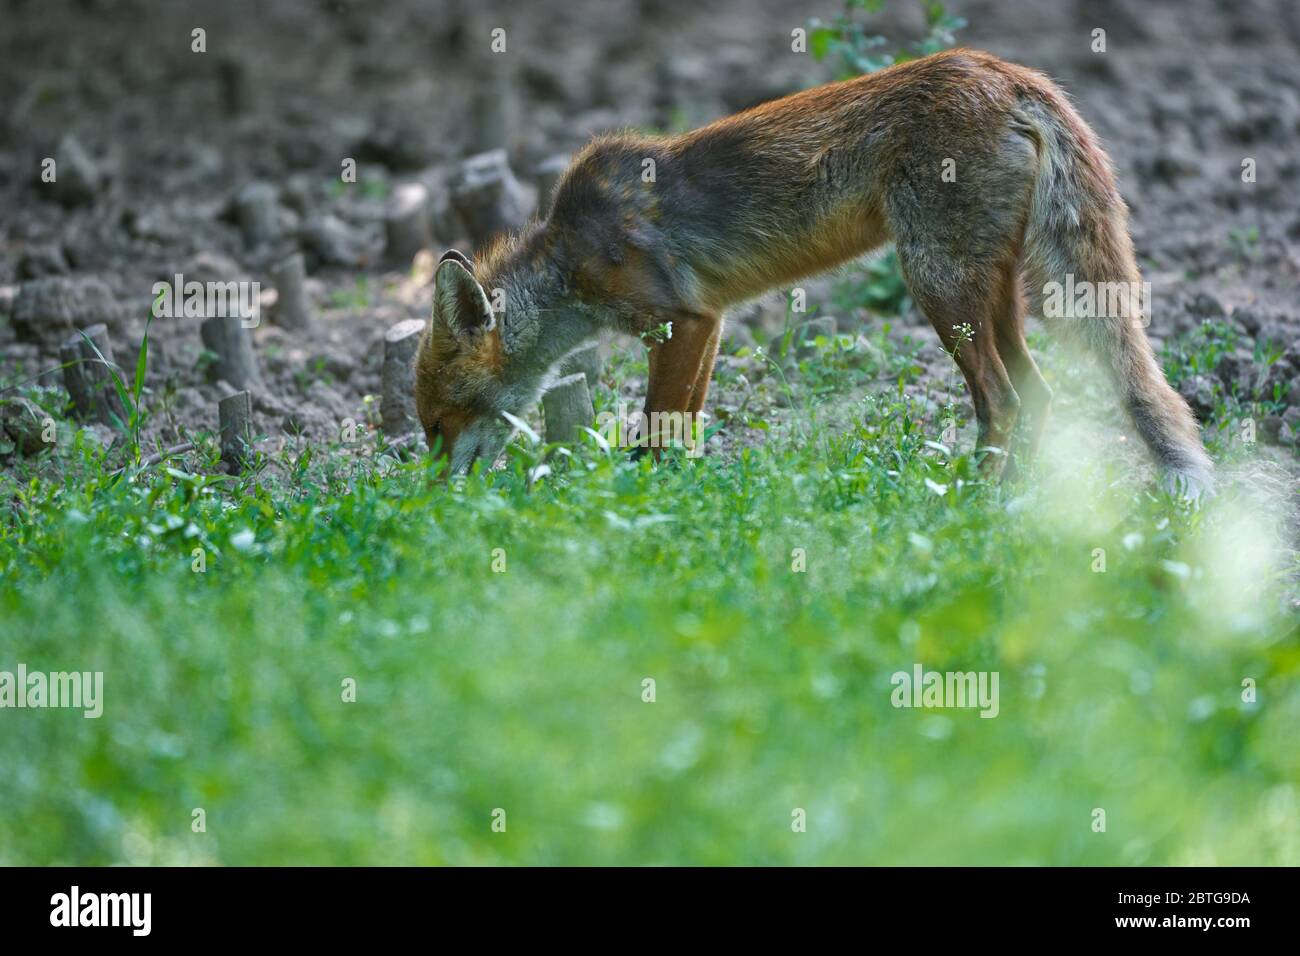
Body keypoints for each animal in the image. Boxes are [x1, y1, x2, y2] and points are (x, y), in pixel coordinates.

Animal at [414, 48, 1213, 497]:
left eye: (436, 423)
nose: (434, 500)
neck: (569, 256)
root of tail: (1008, 72)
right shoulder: (710, 321)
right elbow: (686, 423)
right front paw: (675, 497)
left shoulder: (677, 319)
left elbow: (658, 429)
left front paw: (640, 502)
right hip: (993, 291)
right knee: (1038, 395)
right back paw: (1016, 498)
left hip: (936, 282)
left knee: (1004, 400)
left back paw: (971, 501)